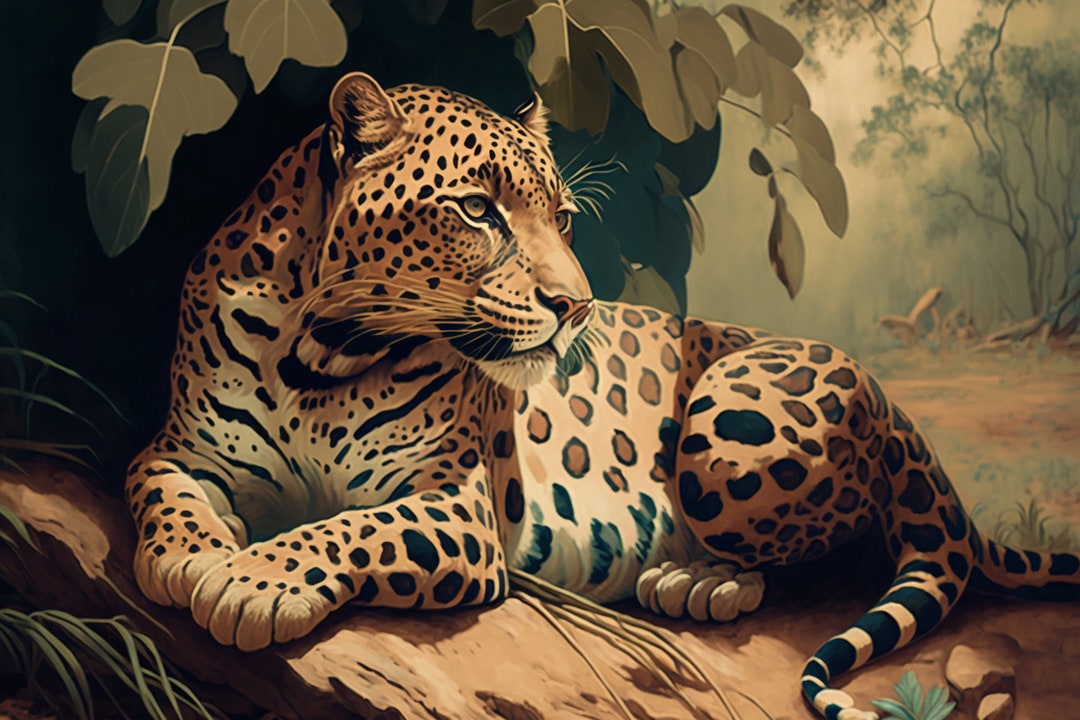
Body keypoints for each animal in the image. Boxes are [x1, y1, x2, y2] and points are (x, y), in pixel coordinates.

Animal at [126, 72, 1080, 720]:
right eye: (477, 210)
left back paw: (700, 580)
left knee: (836, 551)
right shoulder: (179, 449)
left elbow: (346, 527)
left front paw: (250, 578)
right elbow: (164, 498)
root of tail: (896, 407)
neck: (318, 353)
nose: (575, 304)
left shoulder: (455, 506)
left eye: (565, 218)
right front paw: (193, 554)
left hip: (726, 422)